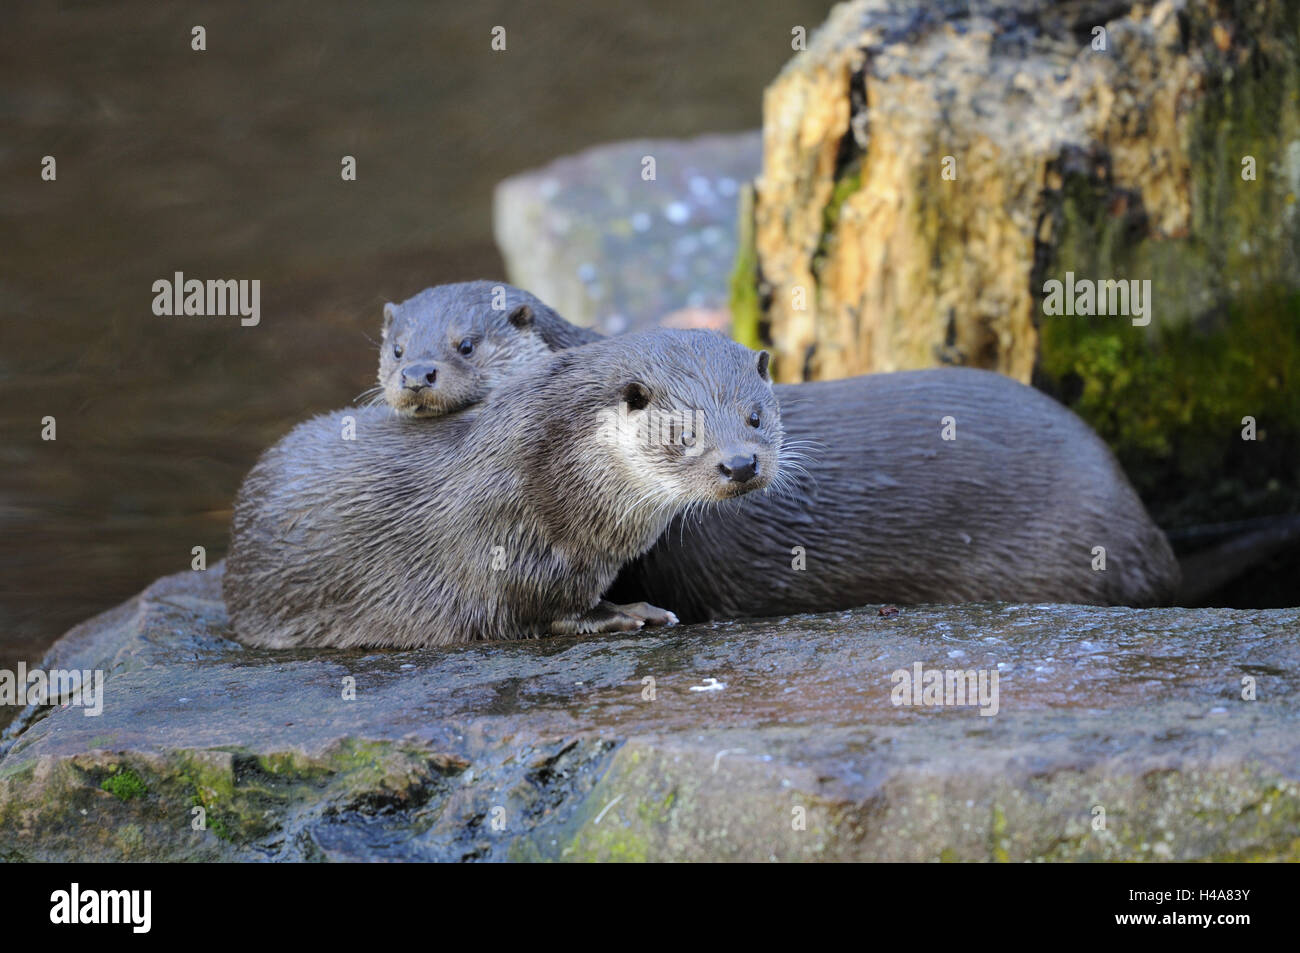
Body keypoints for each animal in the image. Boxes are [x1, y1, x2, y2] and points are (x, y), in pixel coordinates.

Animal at [224, 329, 782, 648]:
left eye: (755, 417)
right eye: (683, 433)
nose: (739, 463)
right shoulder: (504, 545)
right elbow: (536, 611)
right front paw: (628, 614)